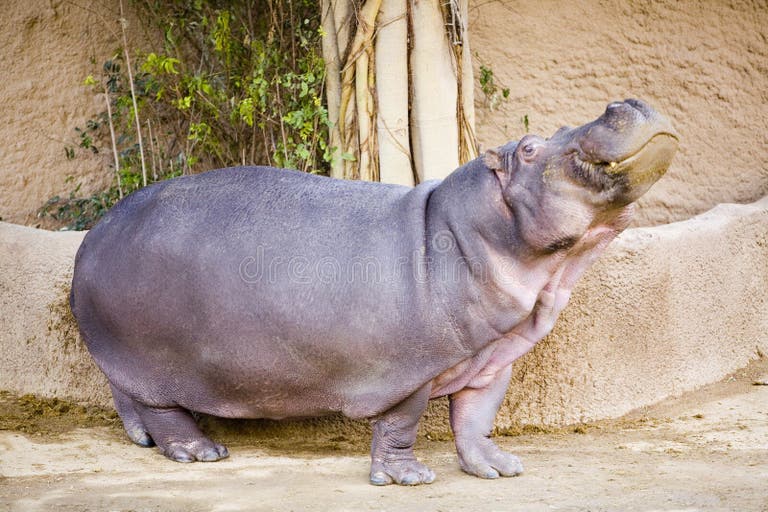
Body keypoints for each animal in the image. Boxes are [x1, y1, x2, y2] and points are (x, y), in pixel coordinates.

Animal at [70, 99, 678, 485]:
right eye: (529, 148)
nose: (625, 100)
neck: (467, 230)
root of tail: (92, 236)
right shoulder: (406, 366)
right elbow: (403, 423)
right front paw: (409, 477)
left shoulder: (492, 358)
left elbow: (476, 416)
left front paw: (498, 467)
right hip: (151, 360)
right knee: (162, 410)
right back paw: (202, 453)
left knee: (129, 401)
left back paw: (150, 443)